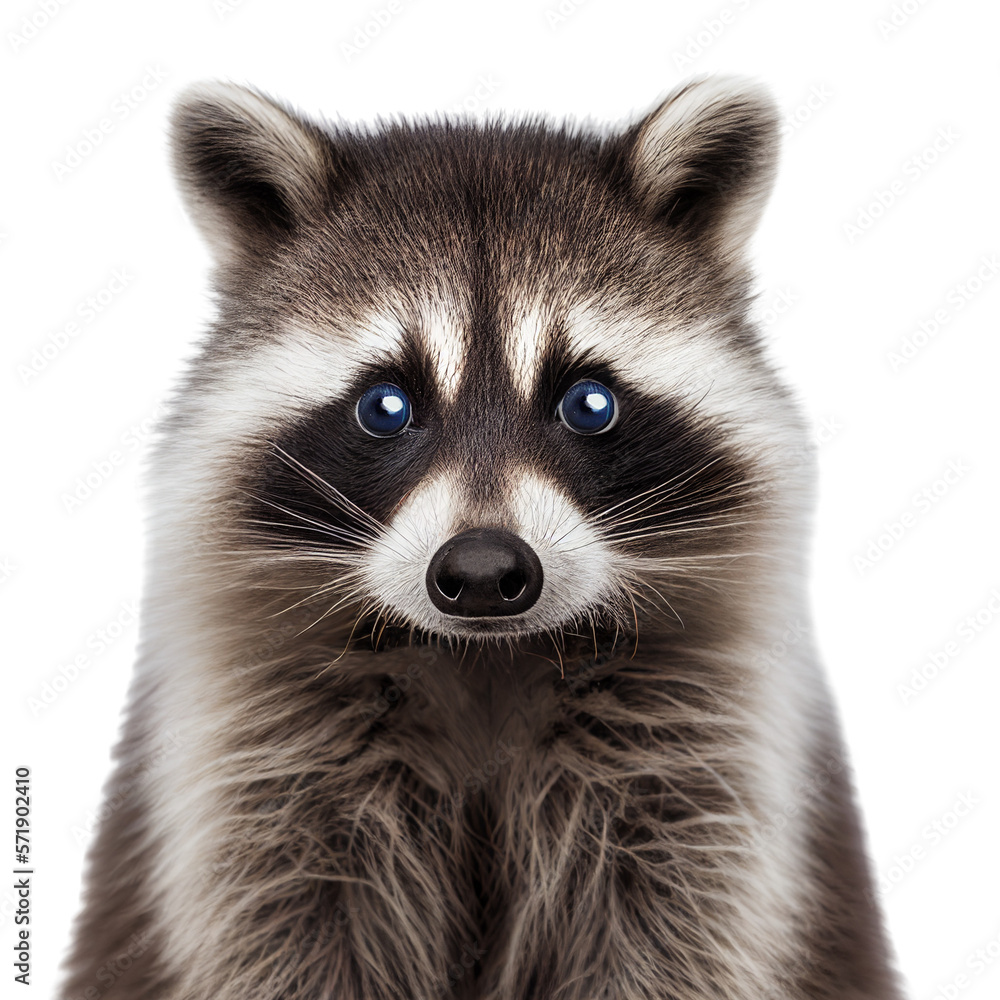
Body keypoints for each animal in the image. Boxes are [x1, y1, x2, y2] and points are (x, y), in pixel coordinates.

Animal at [60, 76, 902, 1000]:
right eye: (386, 405)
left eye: (588, 403)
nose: (485, 571)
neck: (484, 658)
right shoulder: (260, 764)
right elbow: (274, 924)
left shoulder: (697, 759)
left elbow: (685, 929)